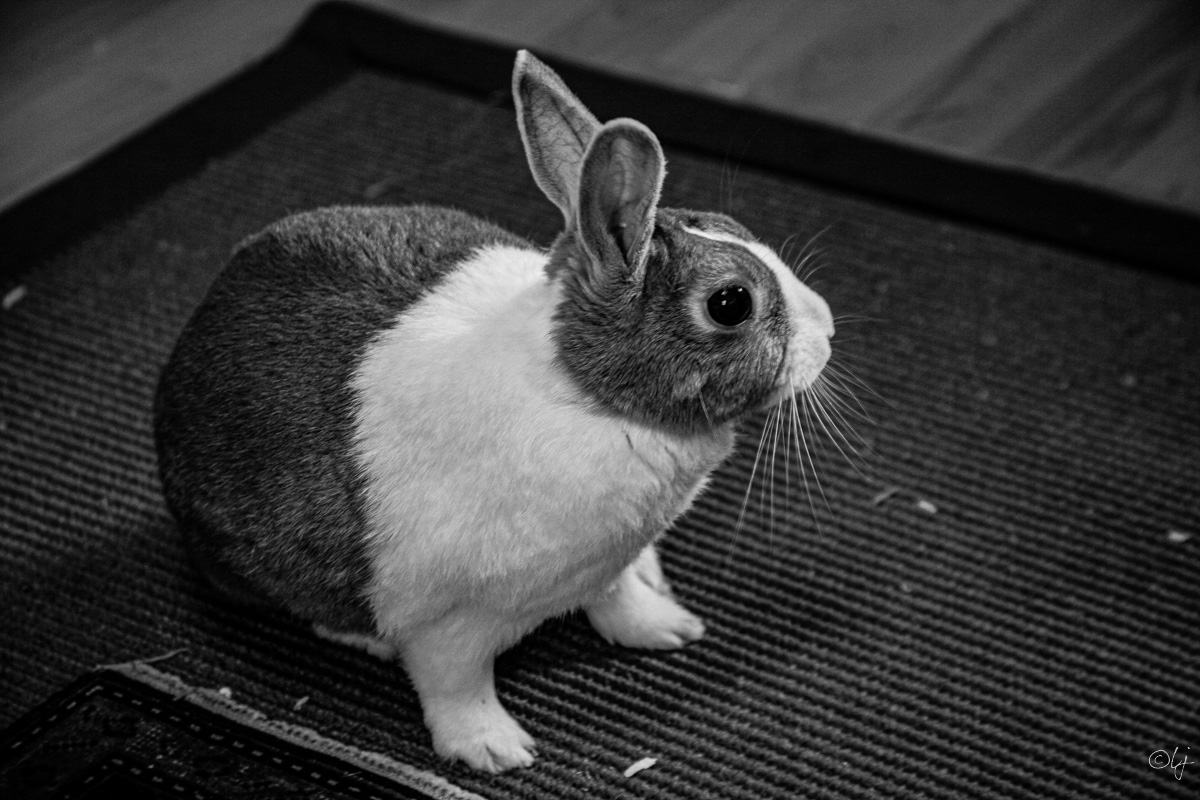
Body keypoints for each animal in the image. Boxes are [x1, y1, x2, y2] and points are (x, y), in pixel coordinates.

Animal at [153, 49, 834, 773]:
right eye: (730, 303)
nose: (827, 330)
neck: (590, 397)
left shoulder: (605, 564)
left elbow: (618, 598)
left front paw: (667, 629)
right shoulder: (449, 625)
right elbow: (456, 686)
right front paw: (495, 750)